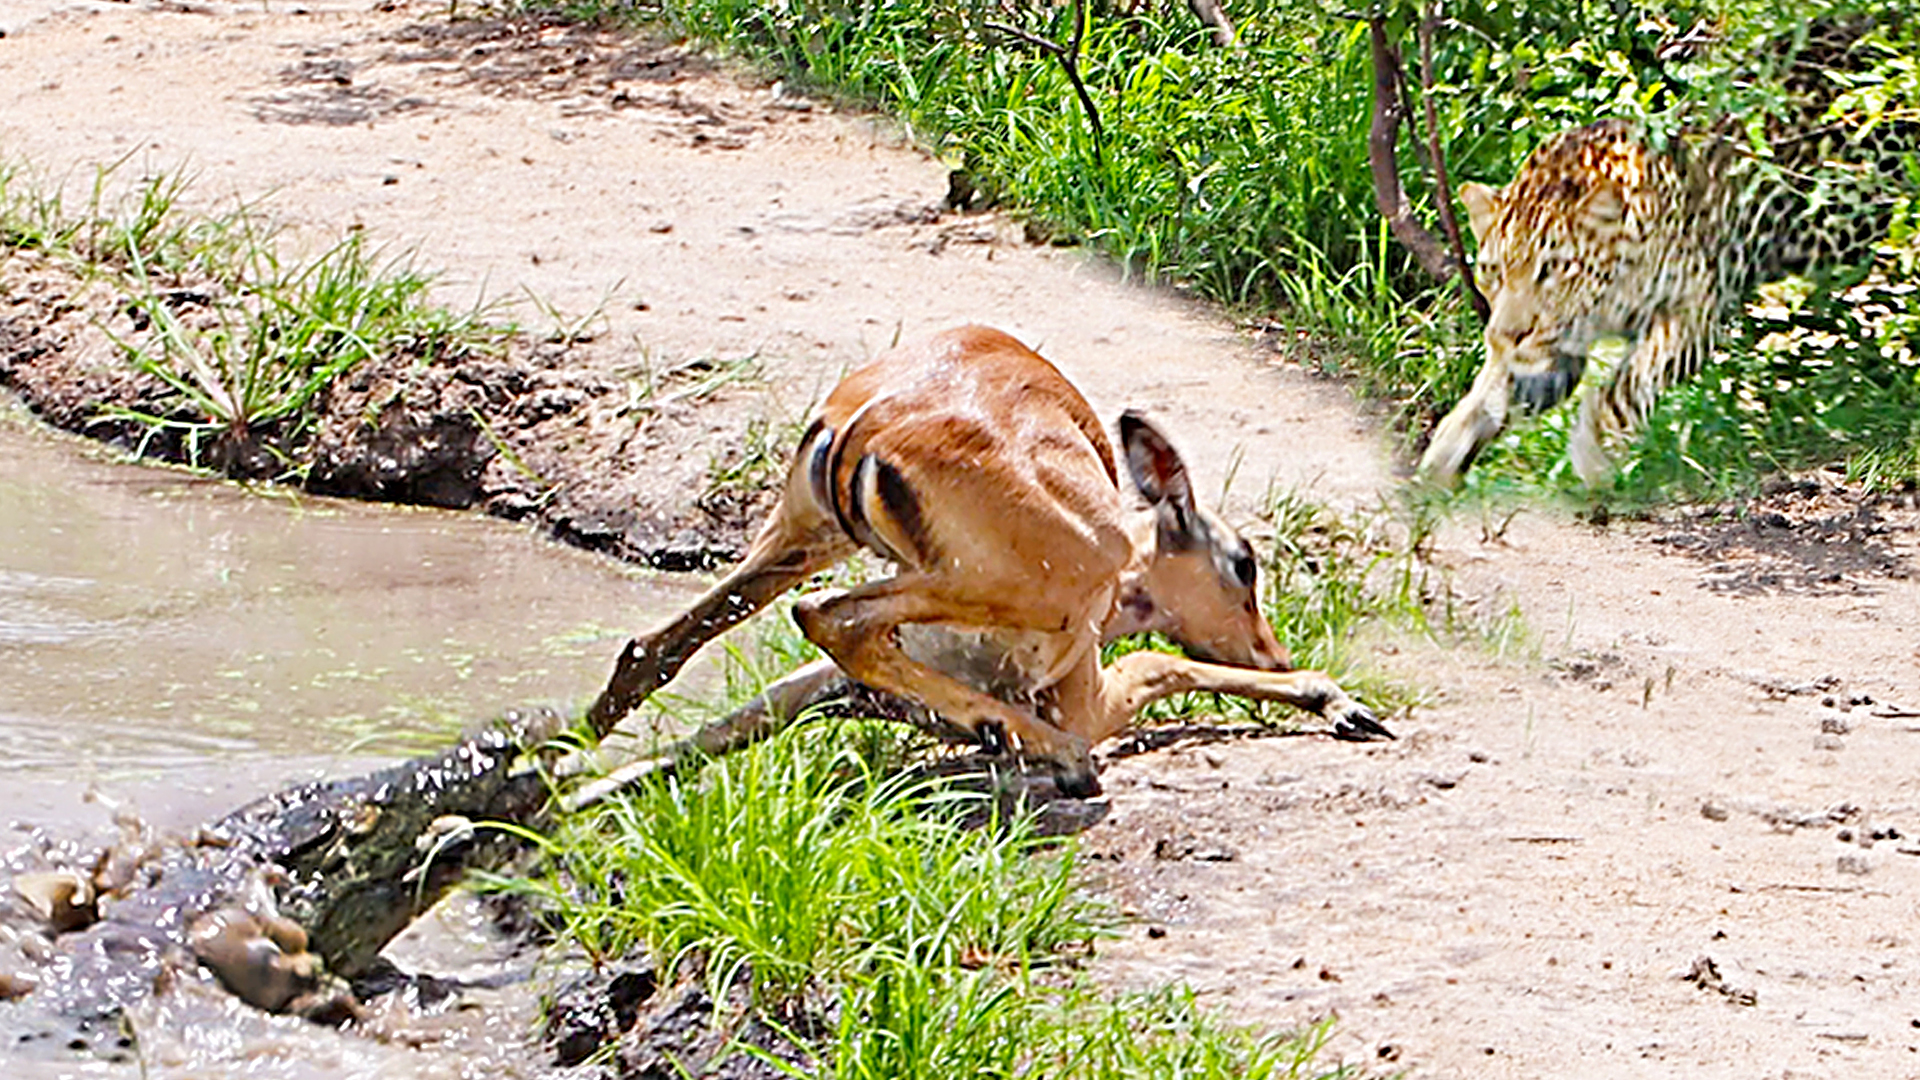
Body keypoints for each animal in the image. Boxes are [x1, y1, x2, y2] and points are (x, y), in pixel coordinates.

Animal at [586, 325, 1388, 797]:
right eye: (1244, 564)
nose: (1274, 654)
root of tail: (866, 426)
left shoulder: (819, 692)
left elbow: (682, 747)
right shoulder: (1086, 688)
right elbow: (1162, 665)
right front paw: (1341, 703)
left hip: (805, 539)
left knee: (654, 647)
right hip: (1013, 589)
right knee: (825, 614)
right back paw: (1052, 755)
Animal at [1417, 22, 1915, 489]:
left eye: (1554, 270)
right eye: (1492, 273)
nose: (1507, 334)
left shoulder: (1696, 310)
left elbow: (1628, 386)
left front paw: (1593, 453)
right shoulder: (1552, 350)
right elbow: (1493, 390)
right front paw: (1442, 457)